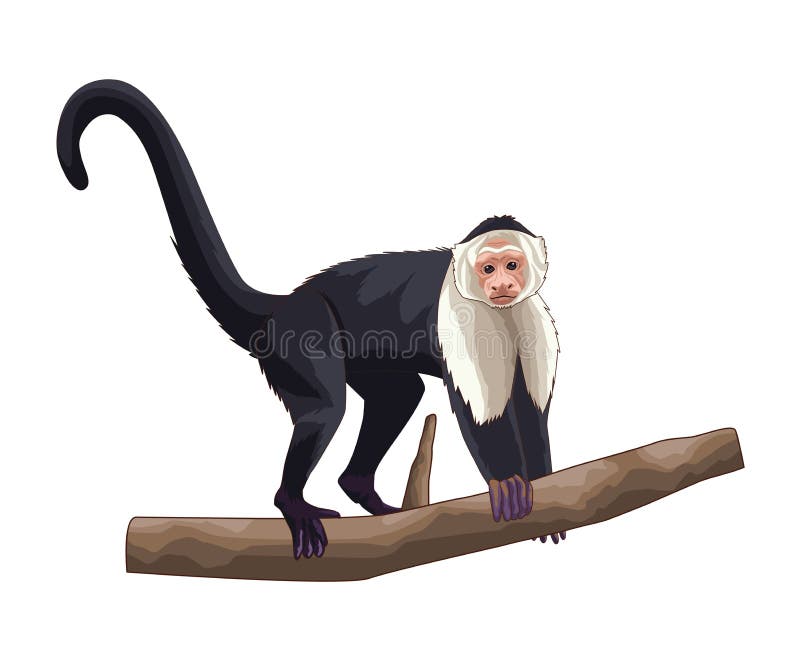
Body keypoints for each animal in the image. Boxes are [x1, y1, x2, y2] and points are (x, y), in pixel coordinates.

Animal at [57, 80, 564, 559]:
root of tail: (282, 304)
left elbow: (528, 407)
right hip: (303, 332)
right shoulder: (464, 317)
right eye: (487, 268)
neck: (496, 310)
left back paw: (365, 494)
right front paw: (504, 482)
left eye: (512, 264)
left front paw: (542, 480)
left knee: (398, 396)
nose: (501, 284)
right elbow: (480, 412)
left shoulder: (534, 318)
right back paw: (292, 503)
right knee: (327, 409)